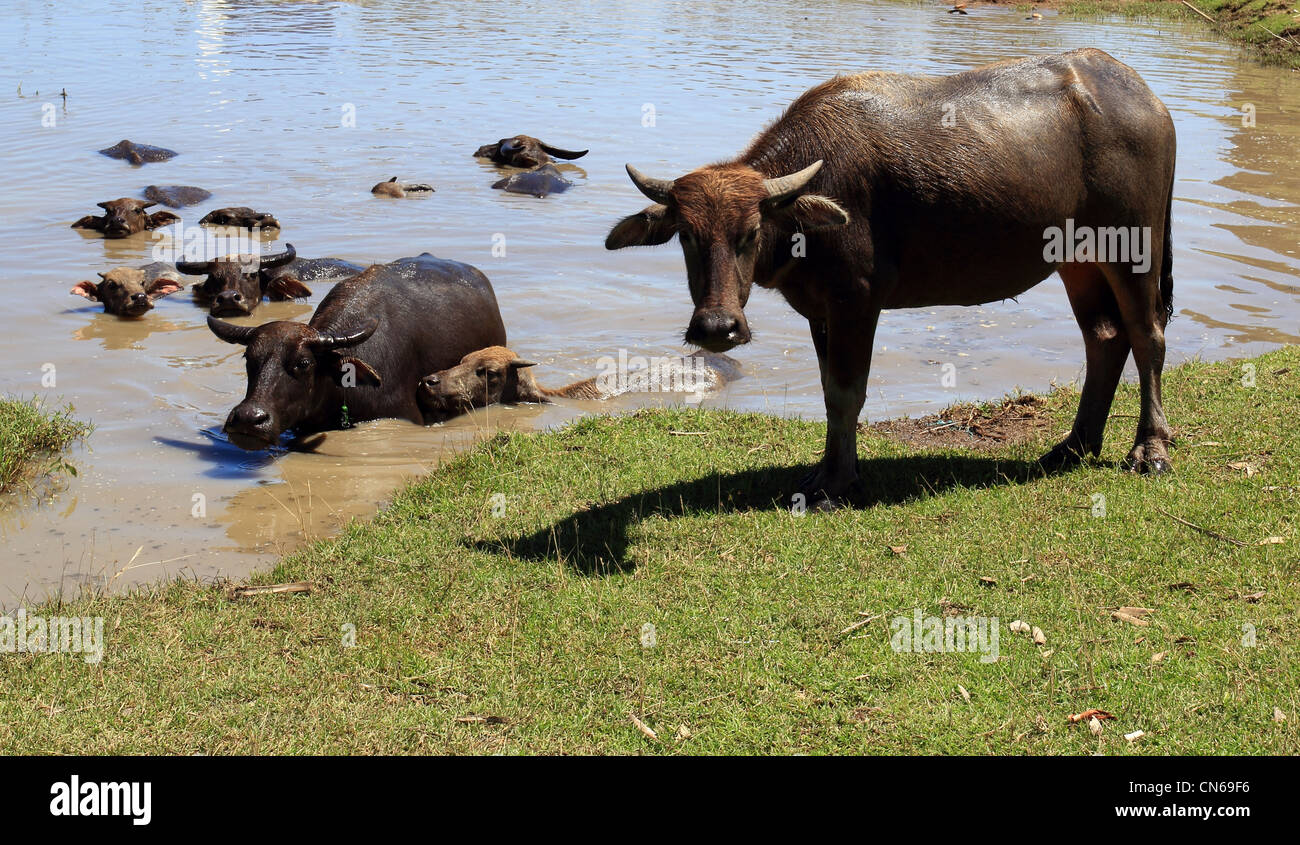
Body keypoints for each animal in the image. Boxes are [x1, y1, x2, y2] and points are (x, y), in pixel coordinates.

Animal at [607, 48, 1177, 506]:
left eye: (750, 232)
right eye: (686, 236)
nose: (716, 328)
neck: (805, 218)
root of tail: (1149, 100)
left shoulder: (857, 301)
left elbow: (847, 391)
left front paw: (837, 483)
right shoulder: (821, 310)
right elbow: (829, 391)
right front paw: (830, 470)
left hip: (1134, 247)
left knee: (1147, 336)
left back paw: (1150, 449)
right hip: (1078, 261)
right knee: (1104, 338)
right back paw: (1074, 446)